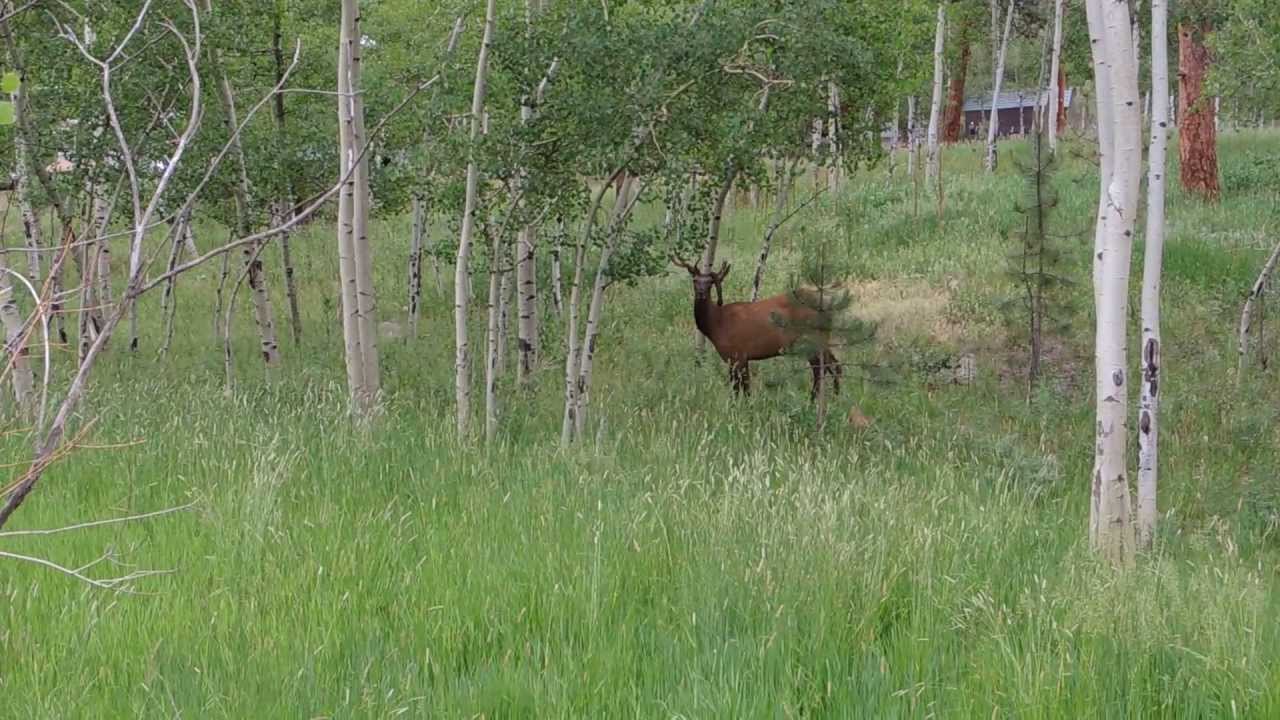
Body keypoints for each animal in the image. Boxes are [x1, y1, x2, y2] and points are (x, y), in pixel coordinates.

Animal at [673, 257, 842, 398]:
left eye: (710, 284)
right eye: (695, 280)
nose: (701, 293)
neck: (717, 325)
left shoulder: (737, 354)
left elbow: (741, 387)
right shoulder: (739, 357)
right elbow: (740, 386)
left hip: (811, 339)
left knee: (824, 368)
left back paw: (817, 399)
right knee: (833, 365)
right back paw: (832, 398)